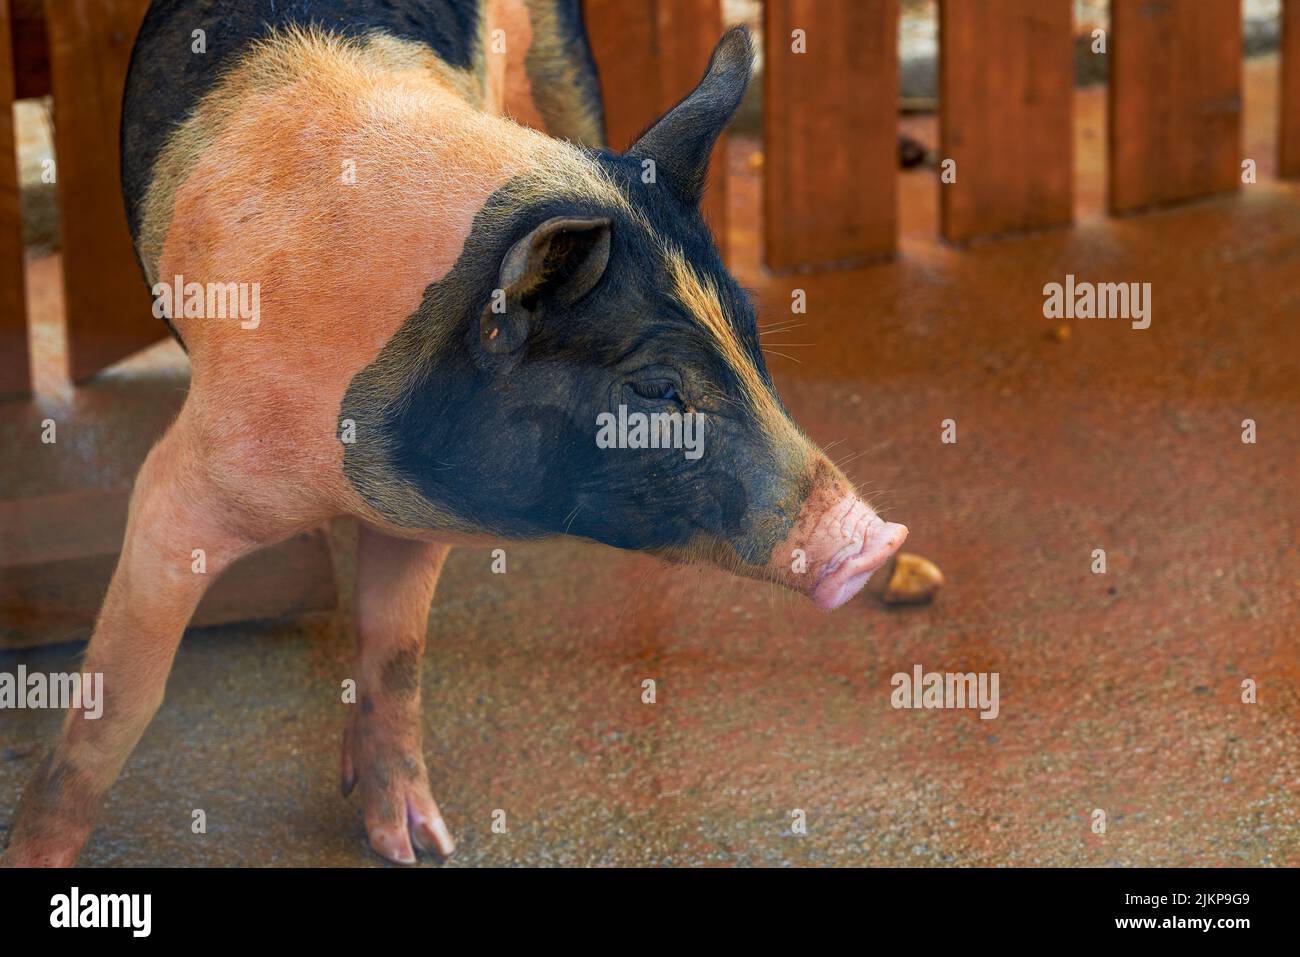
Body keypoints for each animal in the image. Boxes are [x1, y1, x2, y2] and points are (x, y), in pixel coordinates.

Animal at [2, 0, 907, 867]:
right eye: (657, 388)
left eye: (750, 335)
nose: (878, 537)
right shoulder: (185, 480)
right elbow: (119, 700)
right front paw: (34, 853)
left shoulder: (414, 504)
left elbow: (398, 649)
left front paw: (420, 845)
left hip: (560, 62)